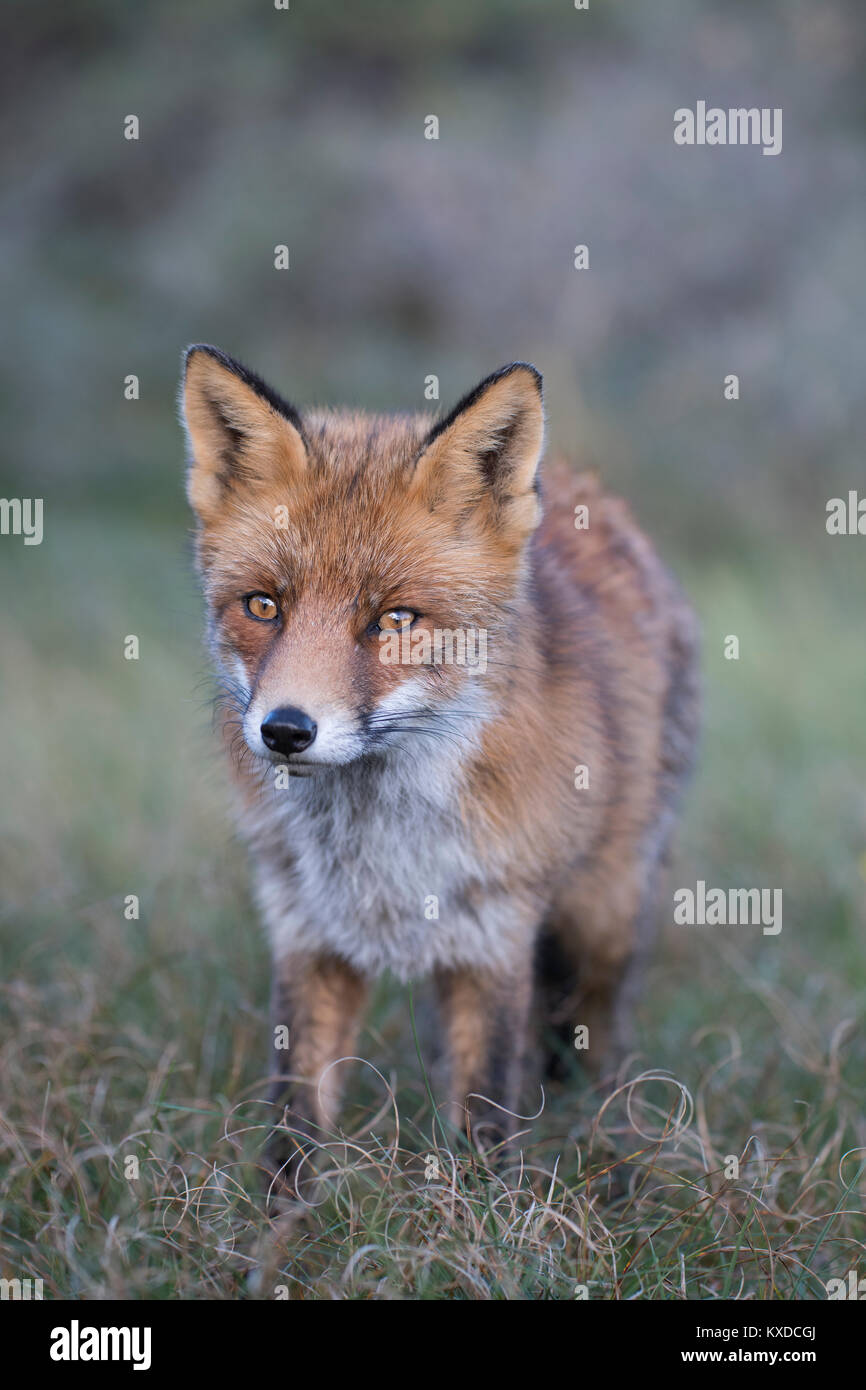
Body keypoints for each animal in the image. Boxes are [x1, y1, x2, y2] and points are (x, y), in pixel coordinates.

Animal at [180, 344, 700, 1183]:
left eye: (394, 619)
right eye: (263, 606)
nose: (285, 731)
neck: (381, 844)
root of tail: (584, 485)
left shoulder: (495, 936)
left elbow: (486, 1108)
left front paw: (484, 1206)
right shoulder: (306, 932)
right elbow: (294, 1121)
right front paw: (277, 1219)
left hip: (601, 919)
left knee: (600, 1040)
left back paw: (618, 1152)